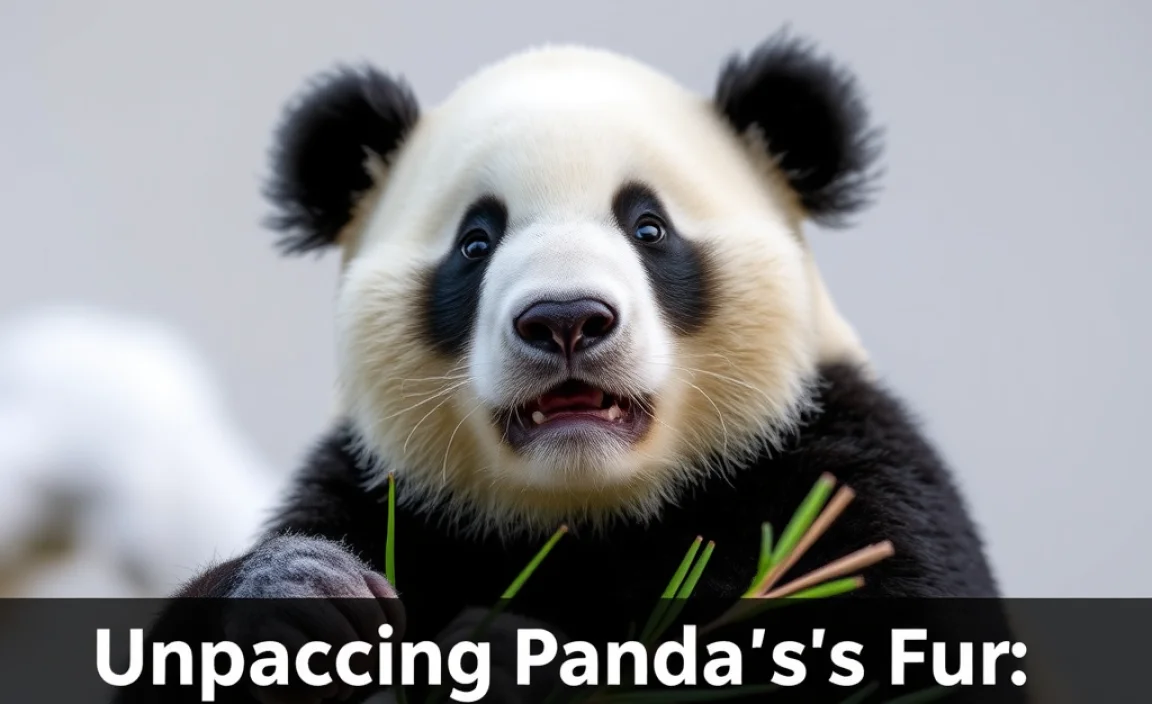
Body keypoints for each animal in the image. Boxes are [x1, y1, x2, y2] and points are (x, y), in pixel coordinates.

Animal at [118, 30, 1010, 704]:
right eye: (476, 242)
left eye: (648, 226)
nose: (565, 319)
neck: (588, 509)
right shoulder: (389, 493)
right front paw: (298, 597)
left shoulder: (845, 473)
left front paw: (523, 659)